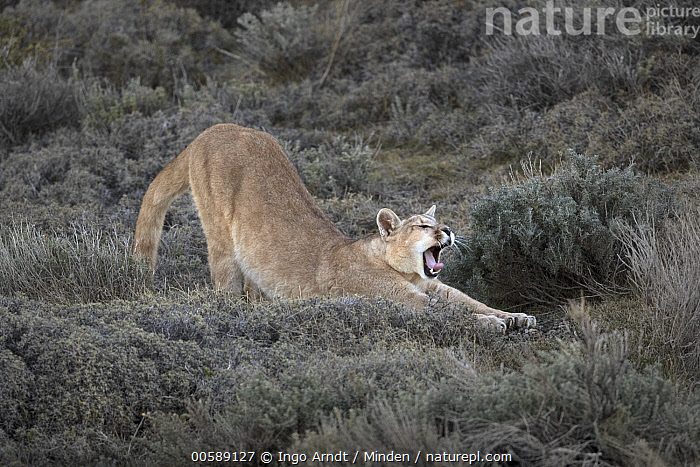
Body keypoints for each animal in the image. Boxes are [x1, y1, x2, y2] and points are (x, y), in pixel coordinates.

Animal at [134, 124, 535, 332]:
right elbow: (451, 313)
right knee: (225, 283)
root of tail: (213, 128)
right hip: (219, 235)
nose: (449, 230)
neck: (397, 267)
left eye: (438, 222)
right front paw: (490, 325)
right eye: (424, 225)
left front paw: (515, 317)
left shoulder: (435, 288)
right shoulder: (401, 298)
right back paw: (235, 313)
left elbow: (471, 301)